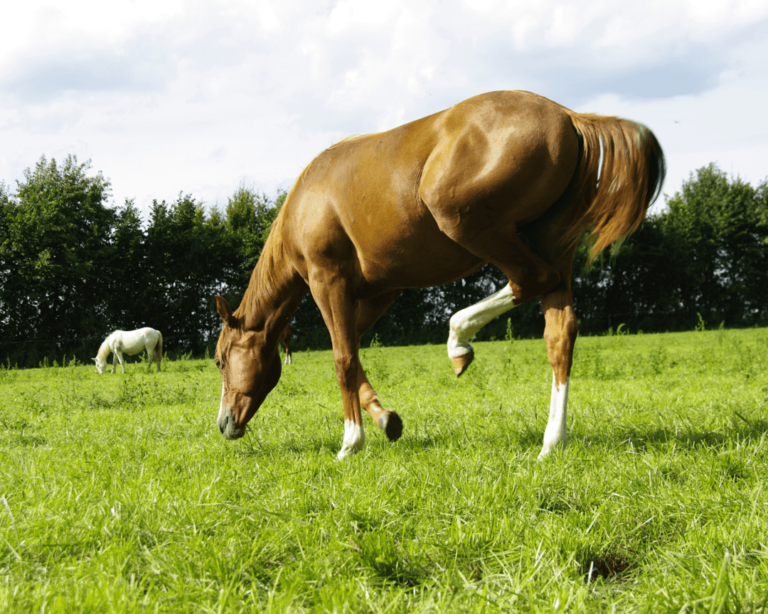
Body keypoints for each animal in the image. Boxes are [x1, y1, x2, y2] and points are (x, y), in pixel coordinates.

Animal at [213, 90, 665, 460]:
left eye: (219, 360)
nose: (223, 424)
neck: (305, 203)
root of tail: (569, 117)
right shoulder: (382, 290)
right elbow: (354, 351)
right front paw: (385, 418)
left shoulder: (329, 282)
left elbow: (343, 358)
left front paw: (351, 441)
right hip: (552, 238)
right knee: (559, 333)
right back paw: (552, 441)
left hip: (472, 226)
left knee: (532, 279)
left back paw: (458, 340)